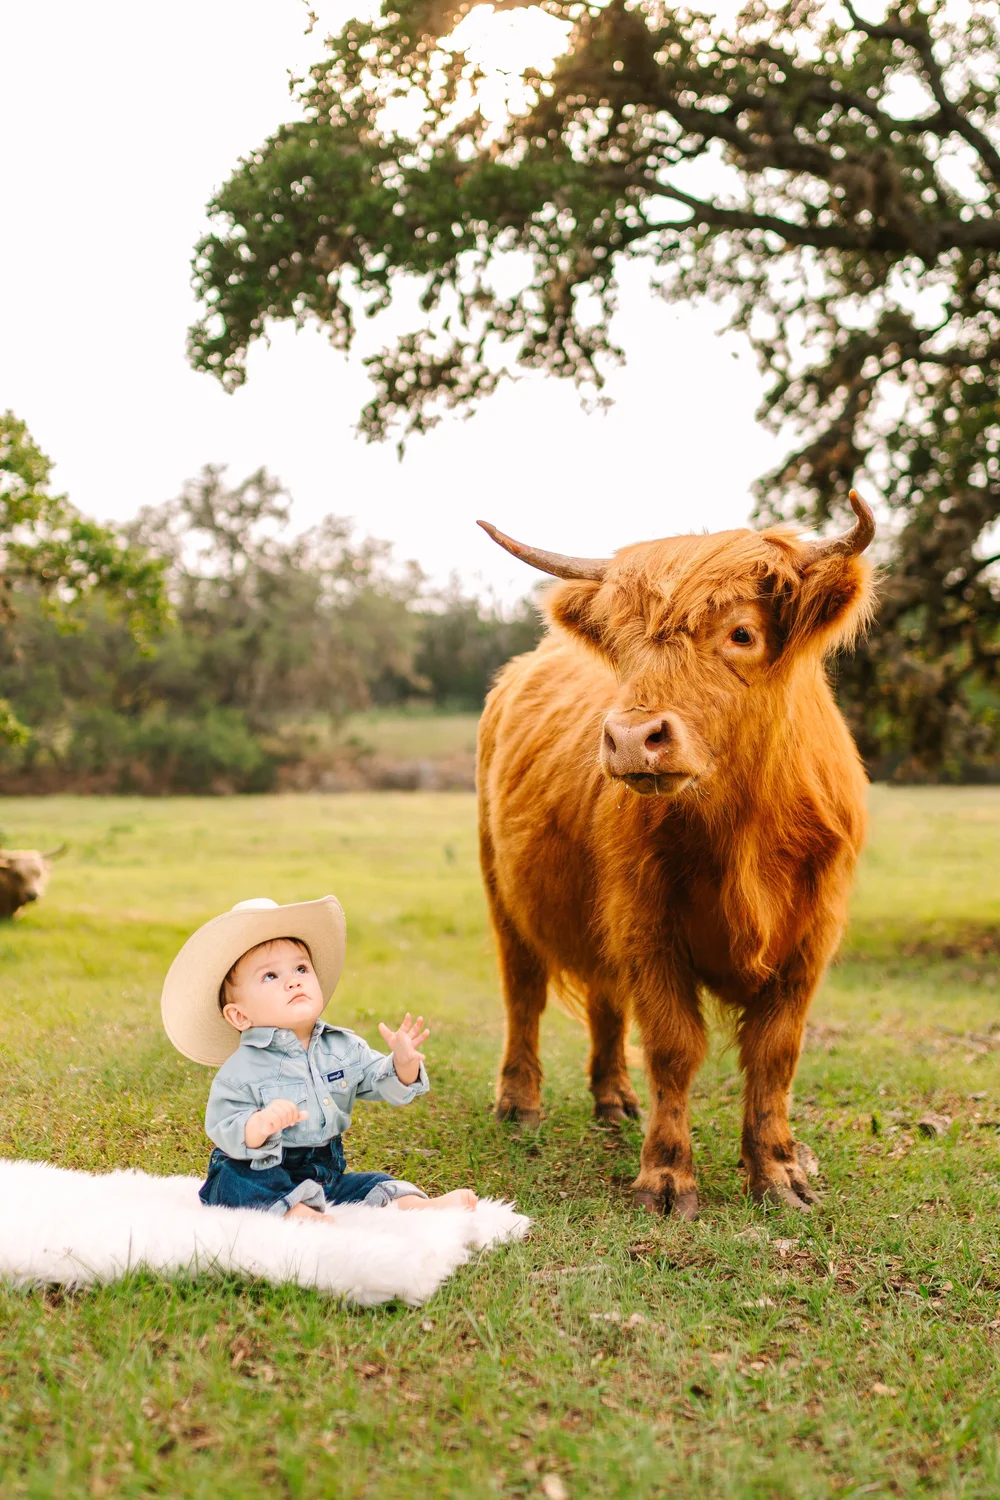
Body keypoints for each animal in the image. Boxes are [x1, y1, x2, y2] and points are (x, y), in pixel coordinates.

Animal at [476, 493, 876, 1217]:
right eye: (623, 645)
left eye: (742, 634)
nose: (634, 737)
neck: (744, 830)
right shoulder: (647, 921)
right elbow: (672, 1045)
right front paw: (666, 1178)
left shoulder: (813, 933)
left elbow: (775, 1052)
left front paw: (778, 1173)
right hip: (503, 890)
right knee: (523, 993)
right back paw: (519, 1104)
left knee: (604, 998)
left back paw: (613, 1099)